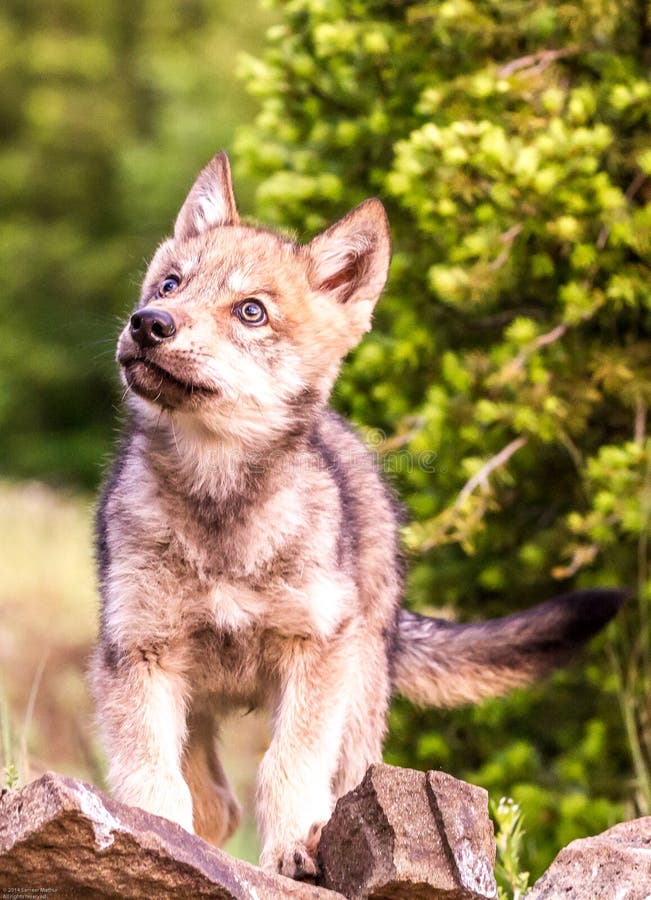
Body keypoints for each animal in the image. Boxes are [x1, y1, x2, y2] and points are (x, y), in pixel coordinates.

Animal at [91, 151, 623, 879]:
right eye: (171, 284)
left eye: (252, 312)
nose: (148, 322)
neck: (221, 505)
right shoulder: (139, 655)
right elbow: (153, 777)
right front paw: (155, 841)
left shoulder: (313, 655)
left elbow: (288, 767)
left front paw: (292, 847)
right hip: (196, 702)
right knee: (213, 802)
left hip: (359, 693)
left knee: (326, 785)